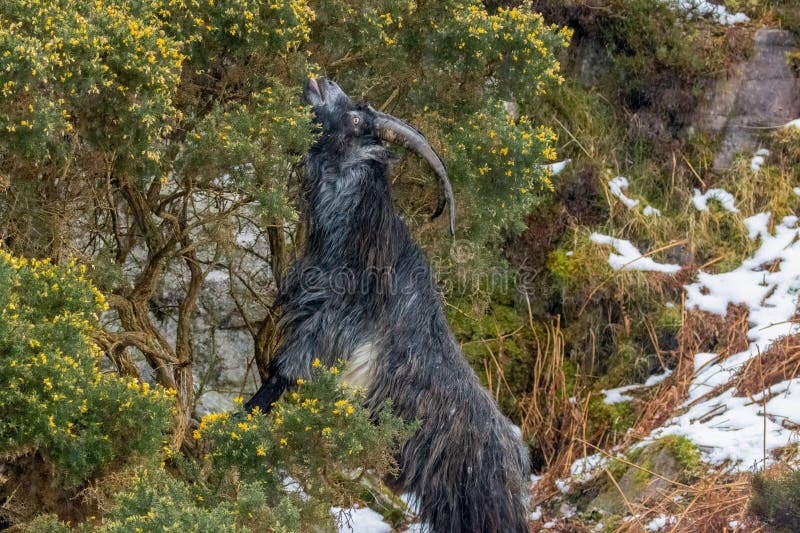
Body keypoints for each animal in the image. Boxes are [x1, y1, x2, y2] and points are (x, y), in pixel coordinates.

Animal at [246, 78, 530, 532]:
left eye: (356, 120)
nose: (321, 82)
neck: (363, 254)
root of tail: (518, 463)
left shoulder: (321, 337)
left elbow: (276, 379)